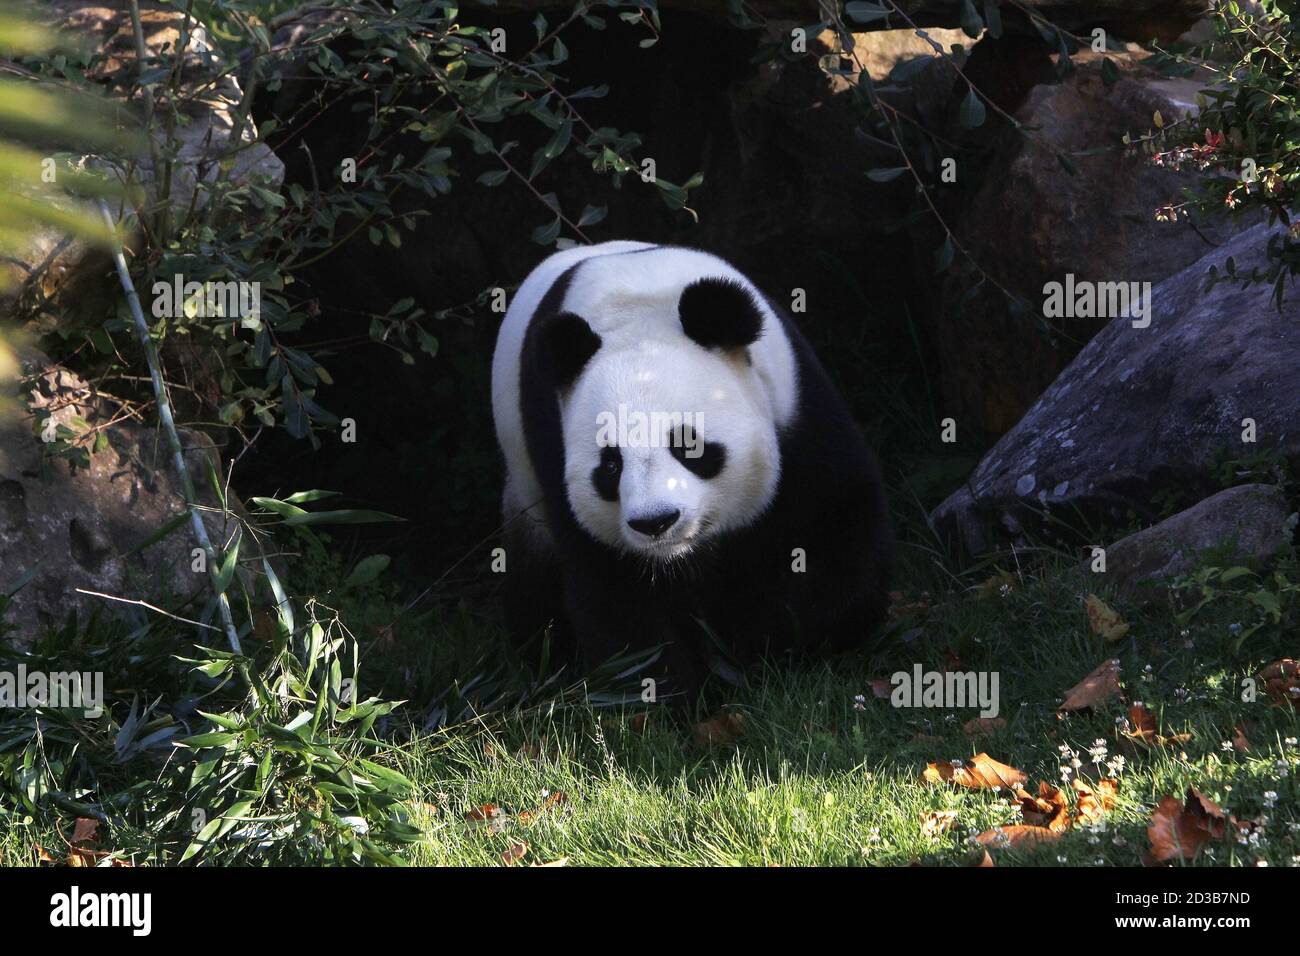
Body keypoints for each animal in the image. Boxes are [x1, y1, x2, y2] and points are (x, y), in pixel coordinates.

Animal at [491, 241, 891, 696]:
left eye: (688, 445)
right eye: (610, 465)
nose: (656, 521)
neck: (637, 311)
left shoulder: (797, 407)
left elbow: (835, 523)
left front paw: (777, 643)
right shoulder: (551, 446)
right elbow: (615, 591)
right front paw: (670, 690)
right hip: (525, 489)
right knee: (533, 582)